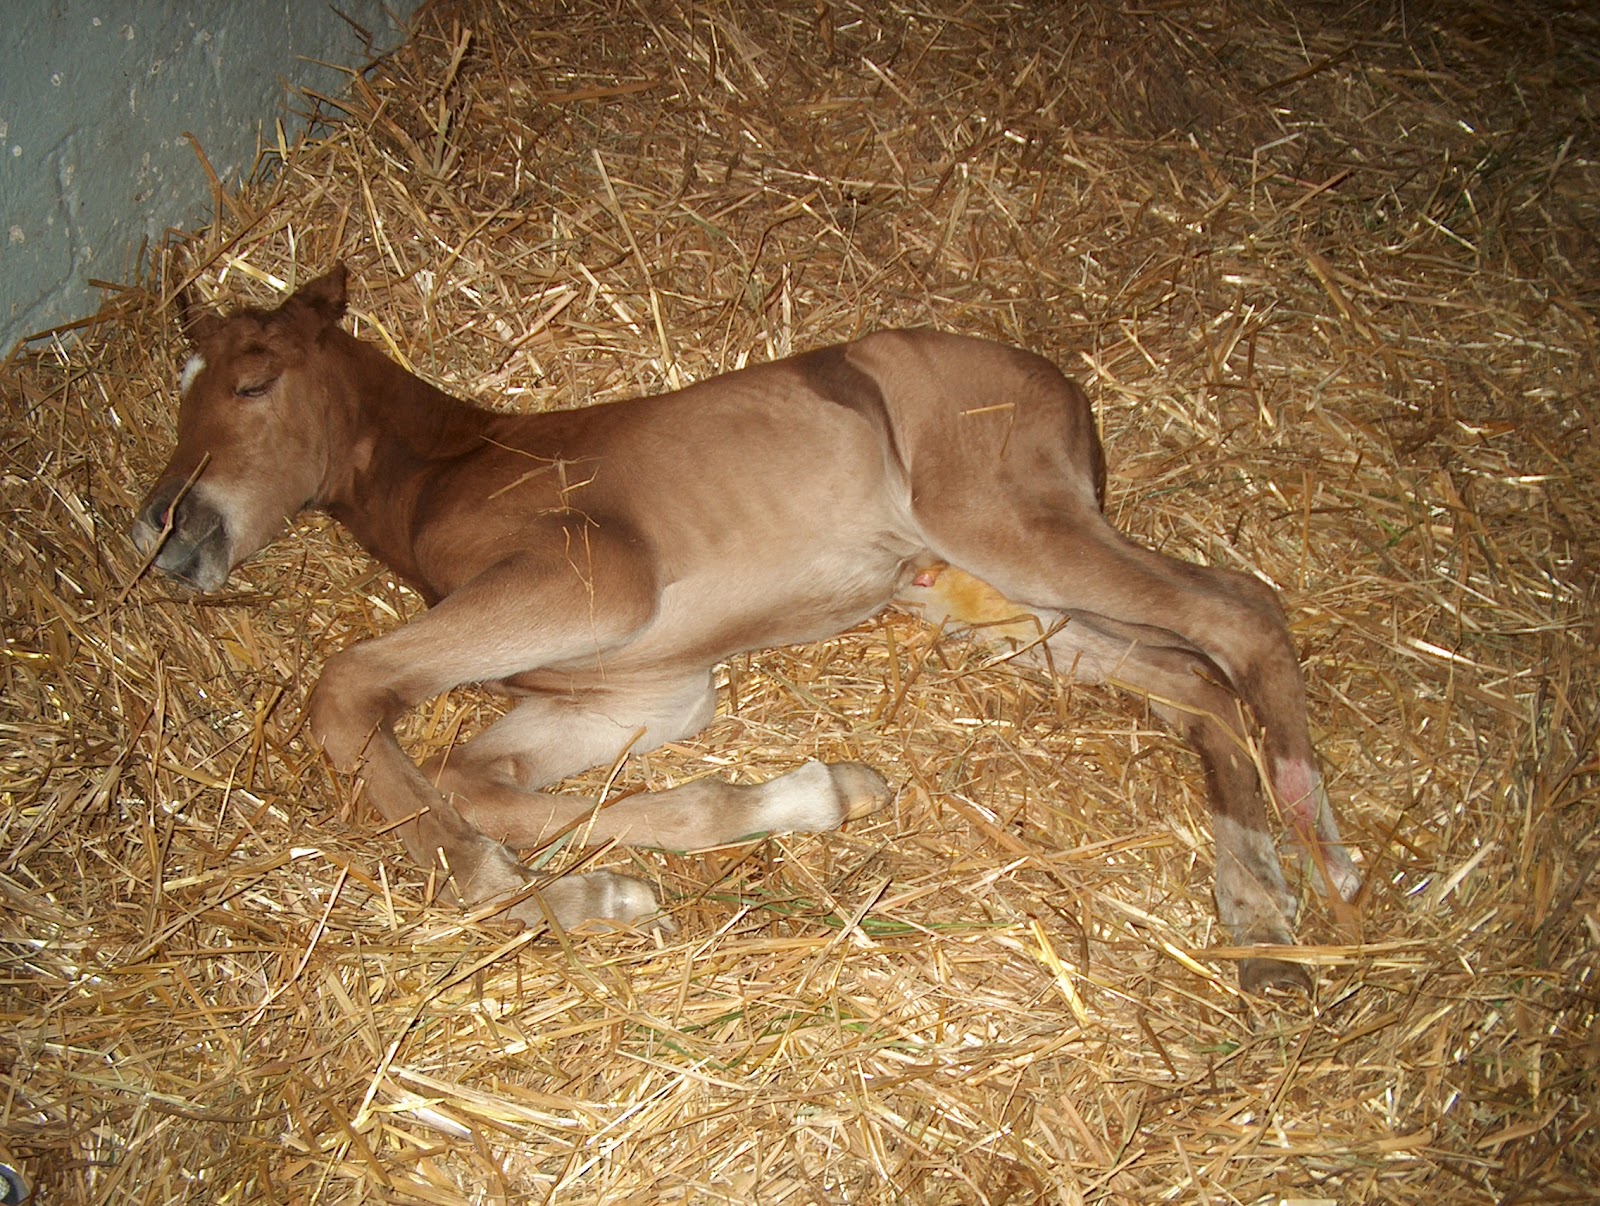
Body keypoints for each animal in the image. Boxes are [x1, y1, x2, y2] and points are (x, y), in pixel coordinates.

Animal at [132, 264, 1360, 992]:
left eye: (252, 380)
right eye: (177, 388)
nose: (162, 523)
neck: (451, 468)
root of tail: (1062, 389)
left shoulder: (593, 585)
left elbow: (353, 695)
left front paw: (553, 898)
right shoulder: (641, 693)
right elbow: (484, 784)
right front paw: (815, 798)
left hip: (1012, 524)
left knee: (1239, 610)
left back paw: (1320, 851)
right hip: (995, 601)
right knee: (1190, 674)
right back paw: (1259, 922)